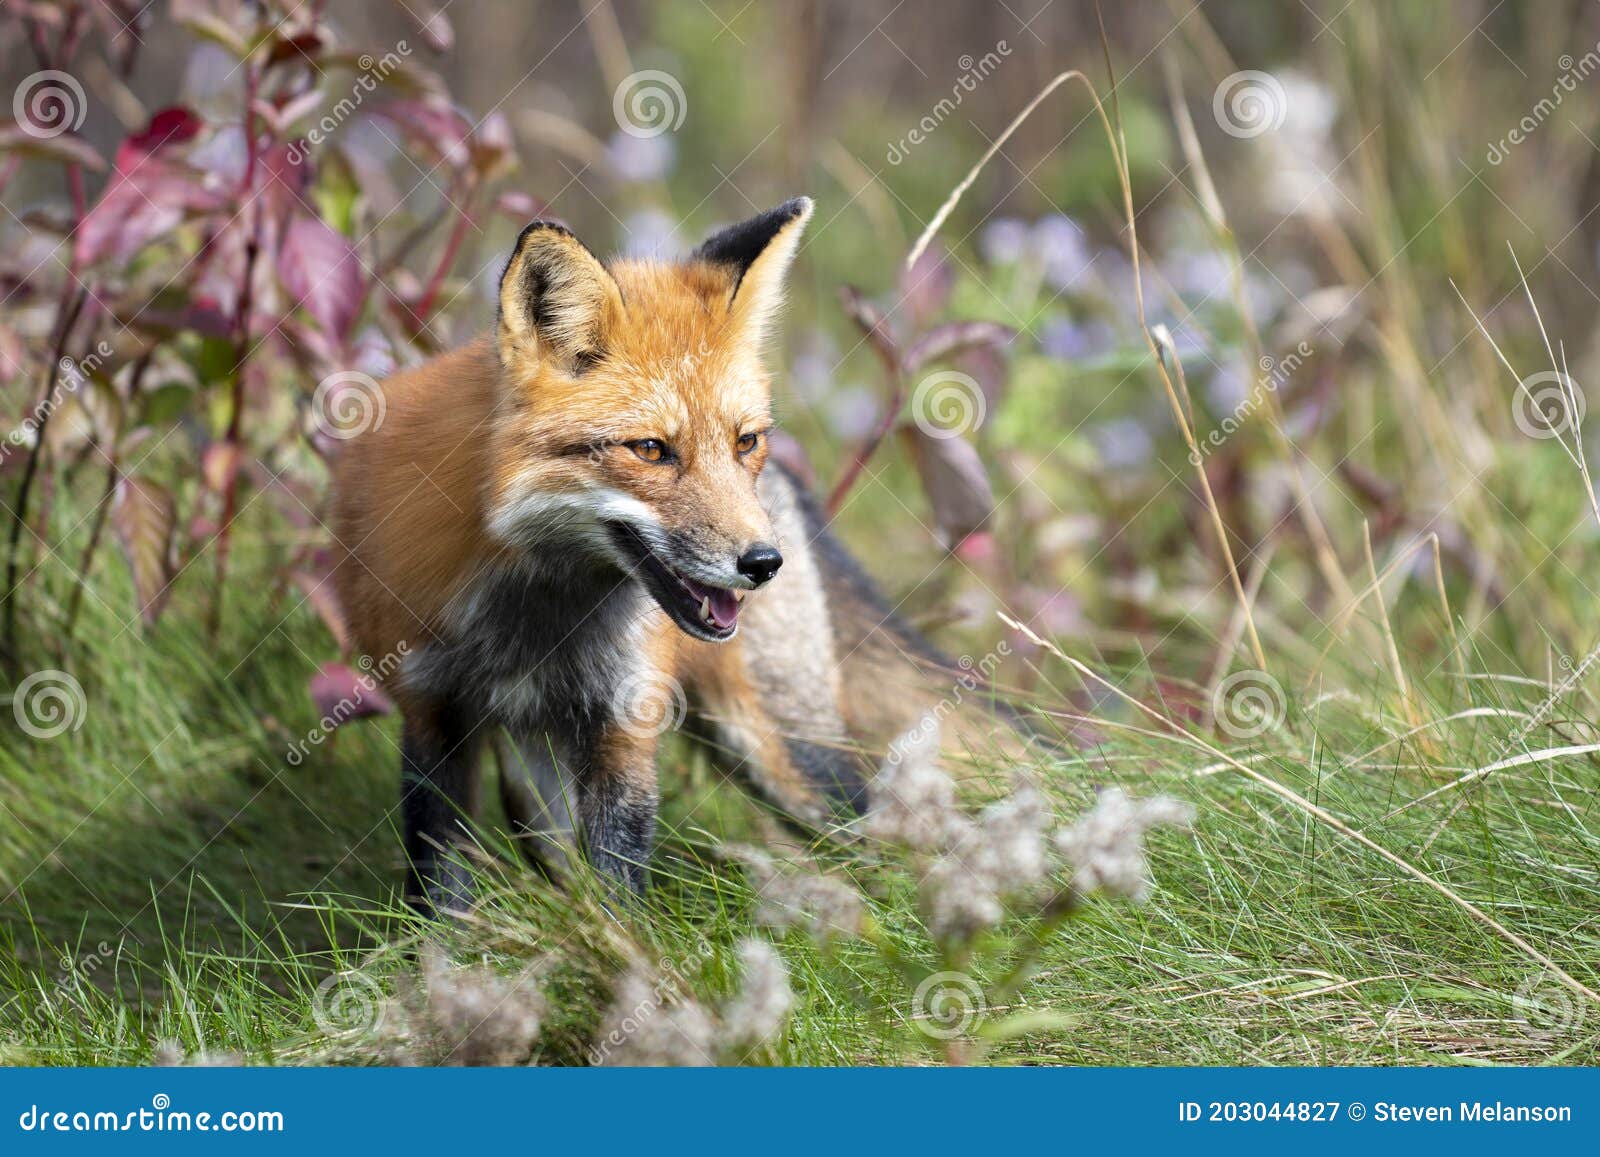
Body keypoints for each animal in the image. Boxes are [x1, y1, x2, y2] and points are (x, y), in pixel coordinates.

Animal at [331, 197, 1002, 913]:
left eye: (744, 441)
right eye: (651, 450)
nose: (764, 564)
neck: (535, 610)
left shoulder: (626, 714)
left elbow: (620, 883)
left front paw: (627, 946)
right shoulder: (431, 713)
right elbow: (442, 889)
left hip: (781, 751)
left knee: (865, 829)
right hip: (537, 771)